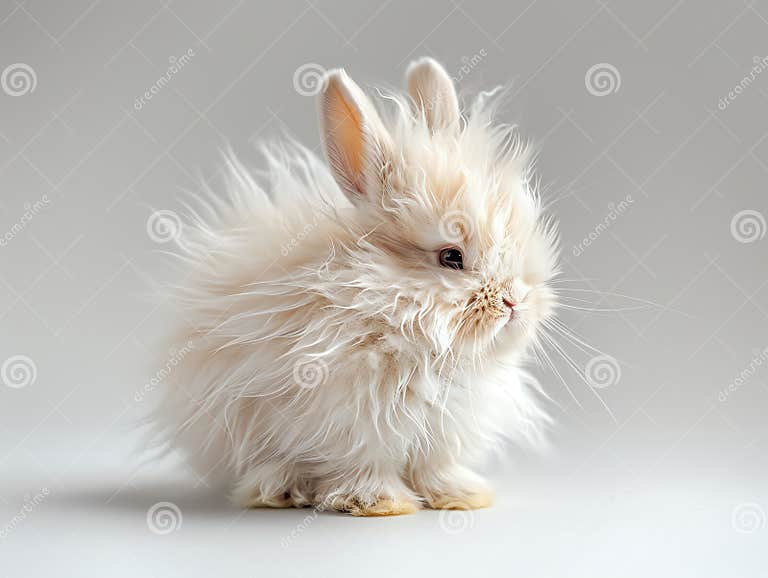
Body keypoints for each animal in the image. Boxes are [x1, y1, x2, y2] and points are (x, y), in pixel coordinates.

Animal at [152, 57, 560, 516]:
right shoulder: (349, 426)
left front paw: (462, 497)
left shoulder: (441, 433)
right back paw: (281, 491)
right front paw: (379, 503)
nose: (515, 302)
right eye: (451, 257)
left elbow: (434, 467)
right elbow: (362, 466)